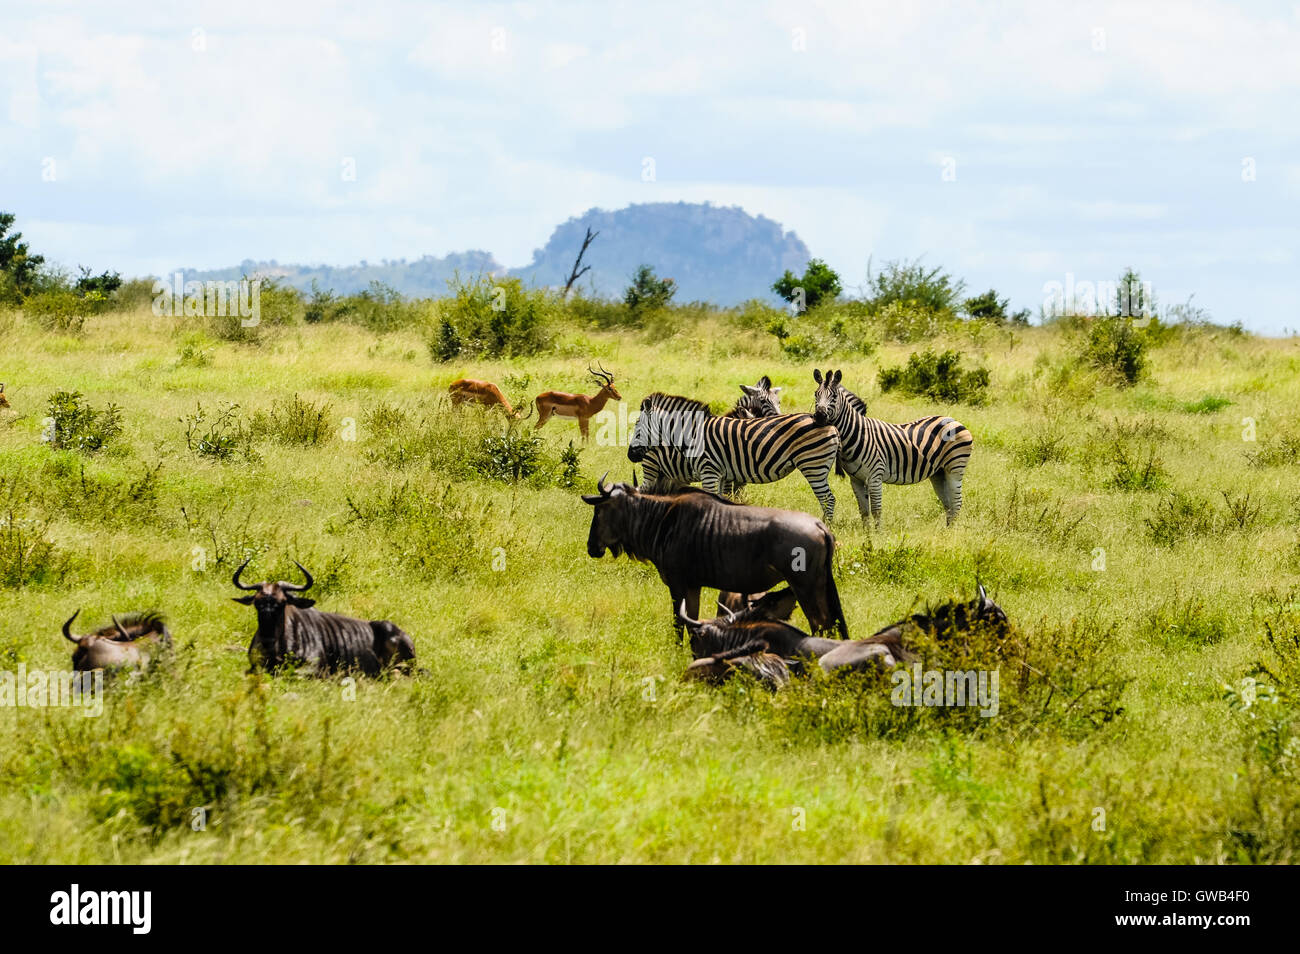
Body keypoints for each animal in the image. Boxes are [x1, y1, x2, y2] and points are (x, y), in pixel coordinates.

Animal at [628, 392, 839, 521]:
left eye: (637, 428)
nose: (630, 455)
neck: (692, 434)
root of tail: (830, 425)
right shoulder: (721, 474)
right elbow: (721, 499)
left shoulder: (709, 471)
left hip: (813, 465)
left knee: (828, 499)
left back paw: (826, 526)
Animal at [812, 368, 973, 526]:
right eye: (816, 394)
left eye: (833, 396)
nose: (819, 416)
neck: (857, 433)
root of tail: (953, 420)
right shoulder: (856, 480)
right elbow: (864, 512)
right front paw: (867, 533)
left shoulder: (875, 477)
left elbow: (876, 511)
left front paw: (878, 534)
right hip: (939, 472)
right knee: (948, 504)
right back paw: (946, 530)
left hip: (955, 467)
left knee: (956, 503)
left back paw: (952, 531)